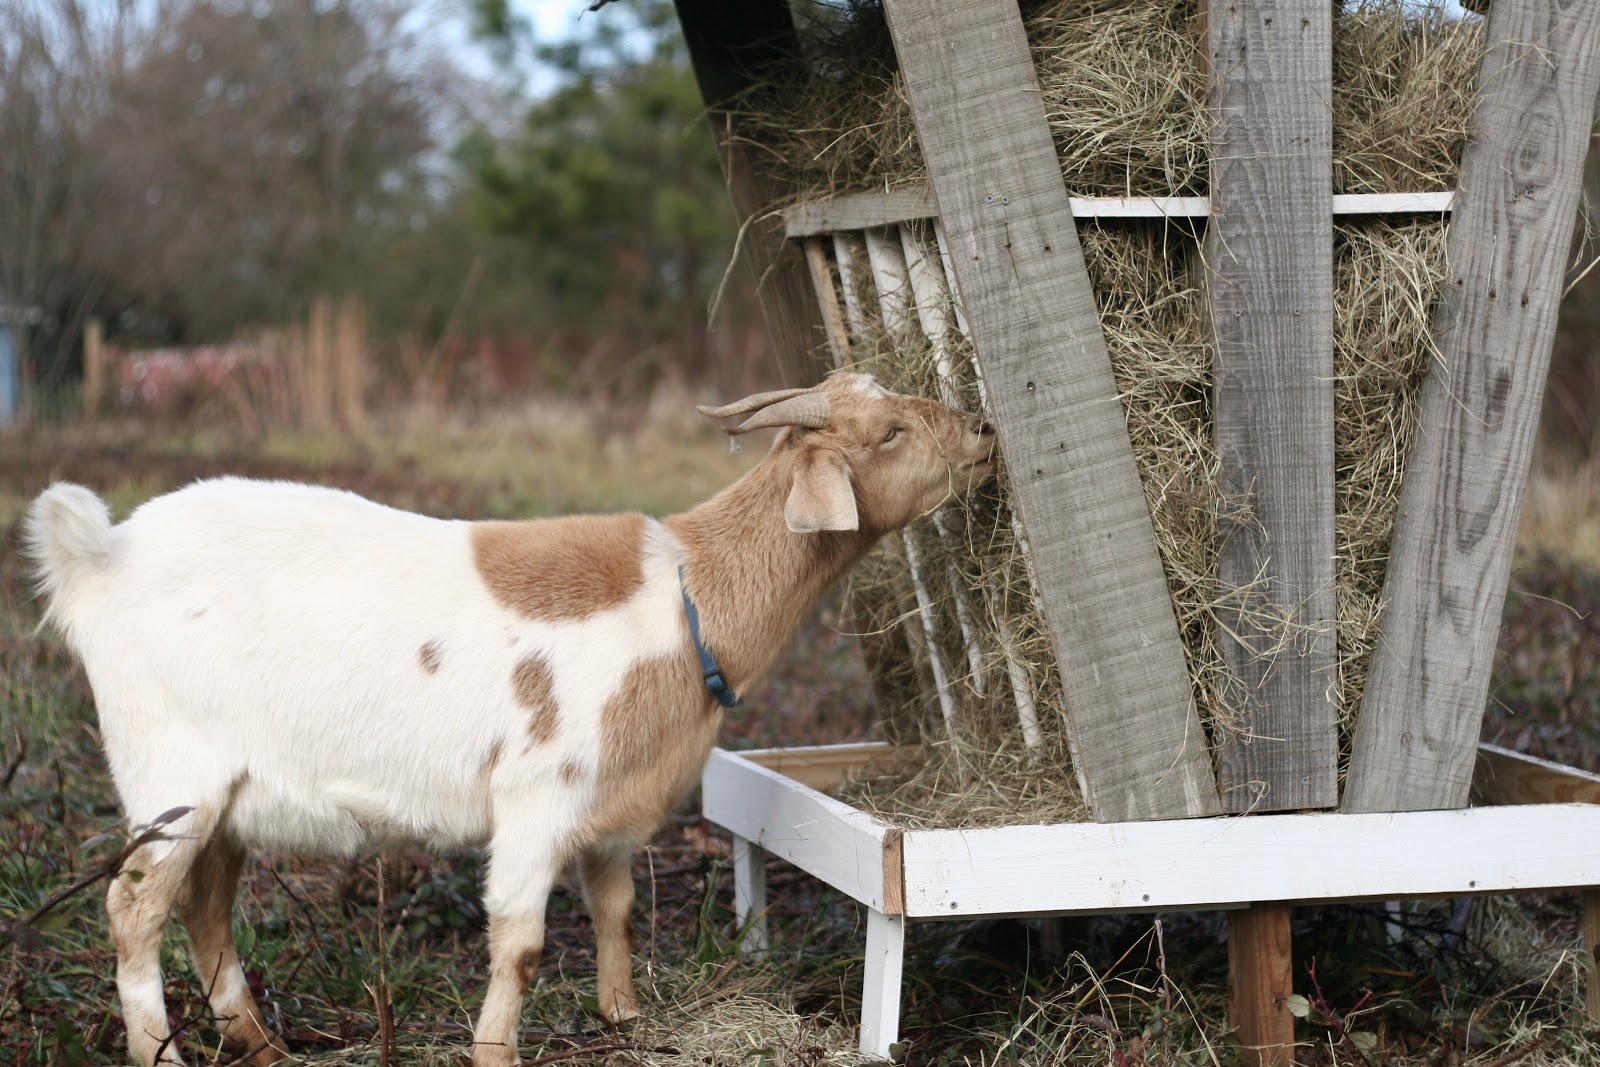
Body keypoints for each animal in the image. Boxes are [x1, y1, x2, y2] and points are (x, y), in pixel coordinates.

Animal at [23, 372, 996, 1066]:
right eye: (889, 433)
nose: (984, 434)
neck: (686, 598)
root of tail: (102, 555)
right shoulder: (539, 792)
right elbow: (521, 941)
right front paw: (497, 1050)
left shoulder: (614, 803)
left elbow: (615, 907)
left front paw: (623, 1014)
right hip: (170, 775)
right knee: (134, 905)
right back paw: (159, 1051)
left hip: (230, 791)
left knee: (207, 906)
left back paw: (258, 1046)